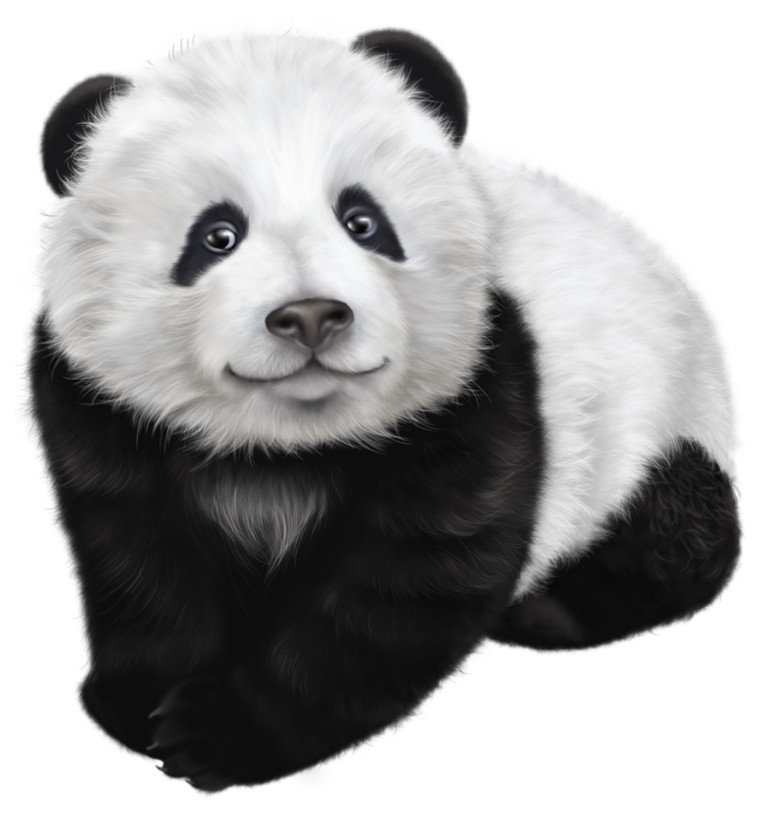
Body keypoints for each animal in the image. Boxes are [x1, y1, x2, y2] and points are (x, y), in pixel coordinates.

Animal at [24, 27, 741, 791]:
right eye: (216, 236)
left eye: (362, 221)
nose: (311, 316)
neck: (283, 444)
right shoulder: (106, 413)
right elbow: (136, 554)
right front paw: (142, 701)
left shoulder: (479, 393)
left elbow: (400, 588)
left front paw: (222, 733)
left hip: (657, 427)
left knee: (665, 527)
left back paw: (557, 610)